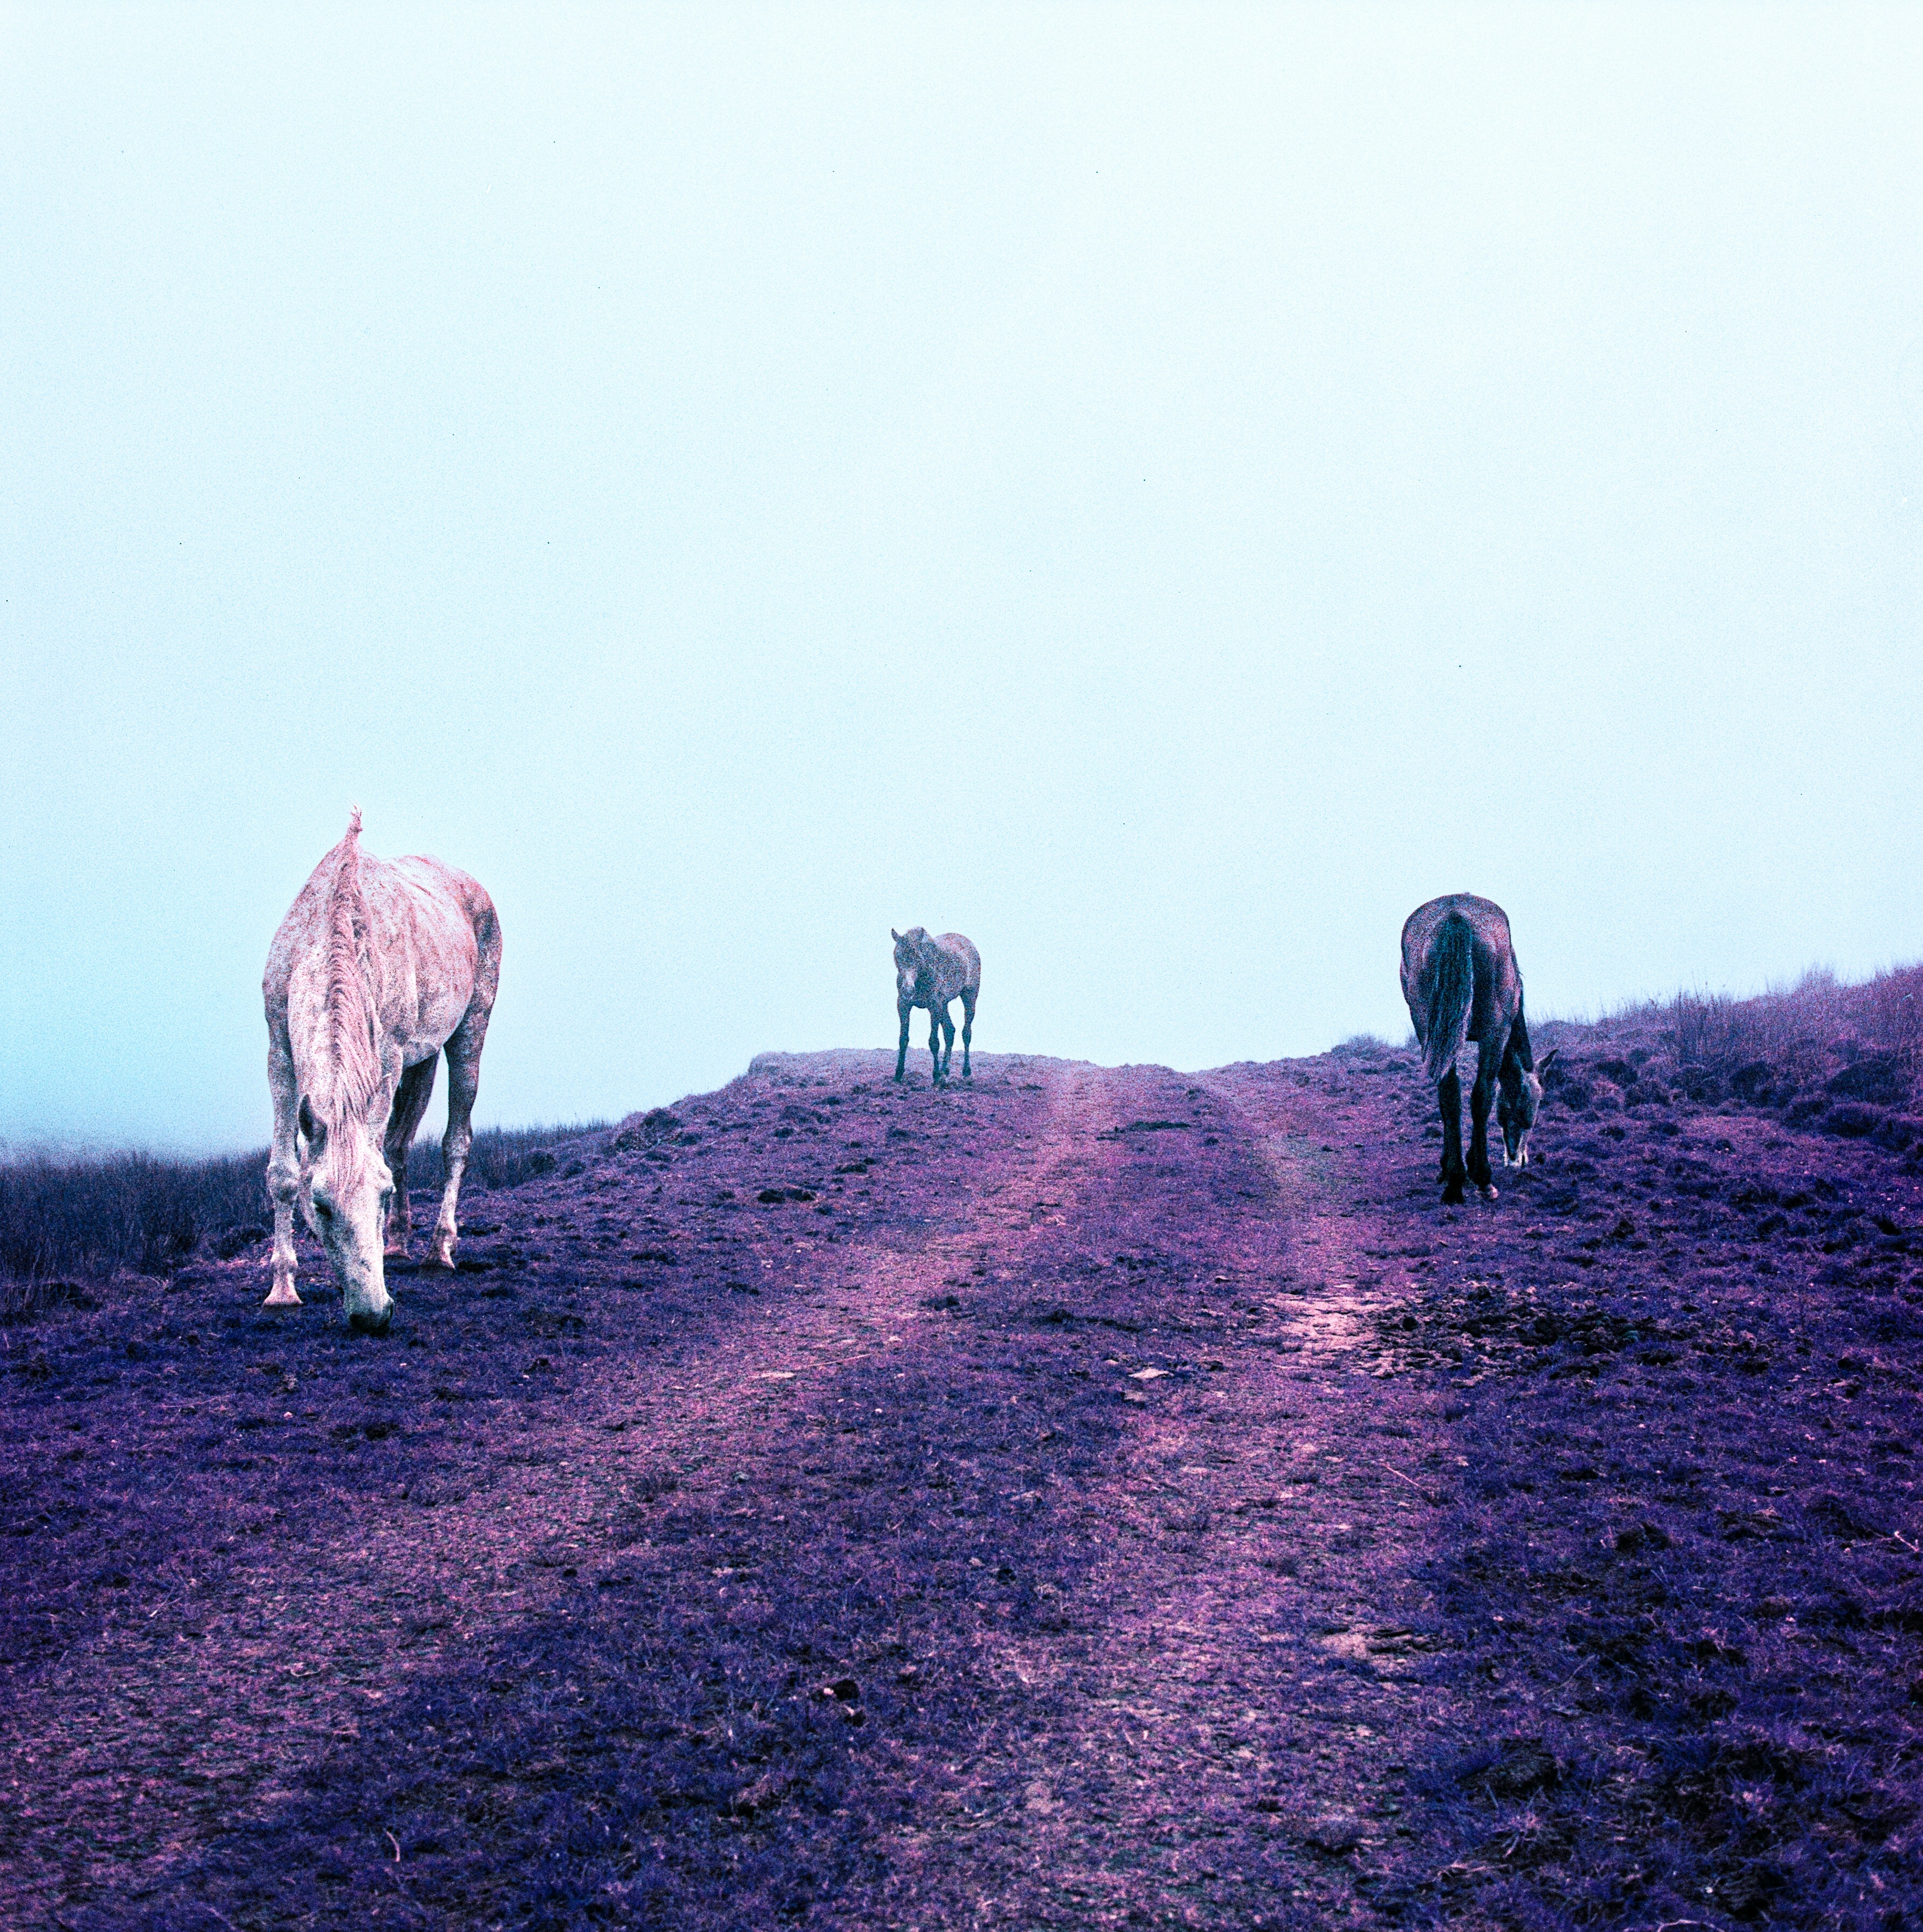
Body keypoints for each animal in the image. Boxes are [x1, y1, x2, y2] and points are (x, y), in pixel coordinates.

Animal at [262, 811, 502, 1332]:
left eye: (382, 1194)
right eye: (320, 1205)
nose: (374, 1314)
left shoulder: (388, 1056)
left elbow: (383, 1146)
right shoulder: (280, 1052)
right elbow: (283, 1172)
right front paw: (282, 1289)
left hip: (469, 1032)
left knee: (456, 1141)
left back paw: (438, 1250)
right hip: (423, 1057)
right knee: (399, 1142)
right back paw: (398, 1245)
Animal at [891, 928, 980, 1084]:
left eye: (918, 957)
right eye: (898, 956)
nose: (908, 989)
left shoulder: (934, 1006)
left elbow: (934, 1042)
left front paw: (936, 1076)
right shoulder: (903, 1004)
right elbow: (903, 1039)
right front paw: (898, 1074)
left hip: (969, 997)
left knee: (966, 1033)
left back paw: (966, 1071)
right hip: (944, 1005)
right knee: (950, 1031)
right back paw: (945, 1070)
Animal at [1400, 893, 1555, 1205]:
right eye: (1534, 1107)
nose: (1518, 1161)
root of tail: (1456, 916)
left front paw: (1449, 1168)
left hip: (1428, 1028)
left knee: (1449, 1093)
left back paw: (1455, 1180)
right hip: (1494, 1032)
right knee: (1481, 1095)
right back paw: (1483, 1178)